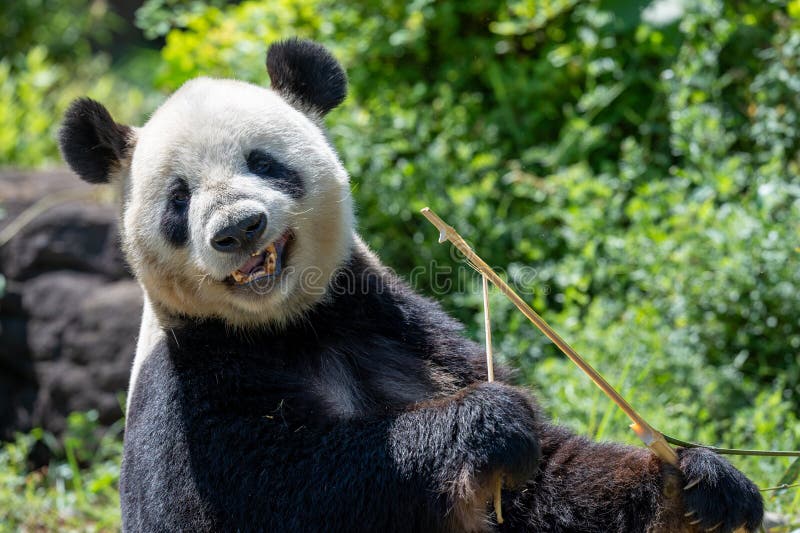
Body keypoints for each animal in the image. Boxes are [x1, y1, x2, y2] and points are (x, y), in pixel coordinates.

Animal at [58, 39, 763, 532]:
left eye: (263, 162)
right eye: (179, 199)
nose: (238, 227)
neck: (290, 324)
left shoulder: (391, 323)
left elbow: (544, 483)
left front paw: (692, 485)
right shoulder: (193, 391)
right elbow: (288, 493)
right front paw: (485, 423)